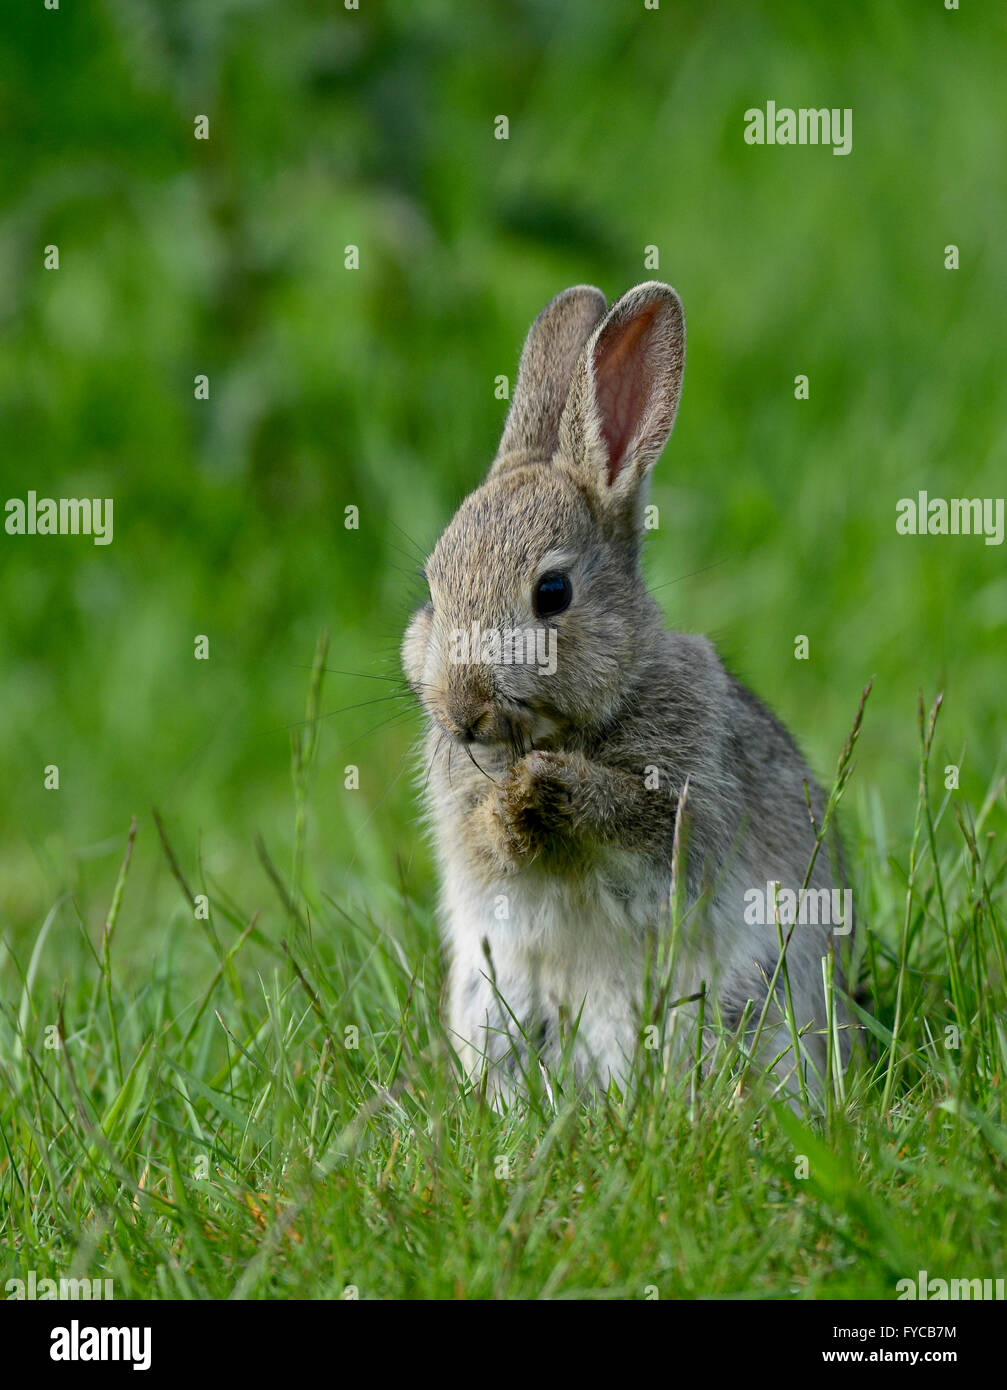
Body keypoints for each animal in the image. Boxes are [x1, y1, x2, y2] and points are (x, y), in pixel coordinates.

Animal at [402, 281, 852, 1104]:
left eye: (552, 593)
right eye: (432, 592)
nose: (462, 711)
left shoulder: (688, 798)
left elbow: (647, 825)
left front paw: (549, 786)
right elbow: (492, 848)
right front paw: (511, 809)